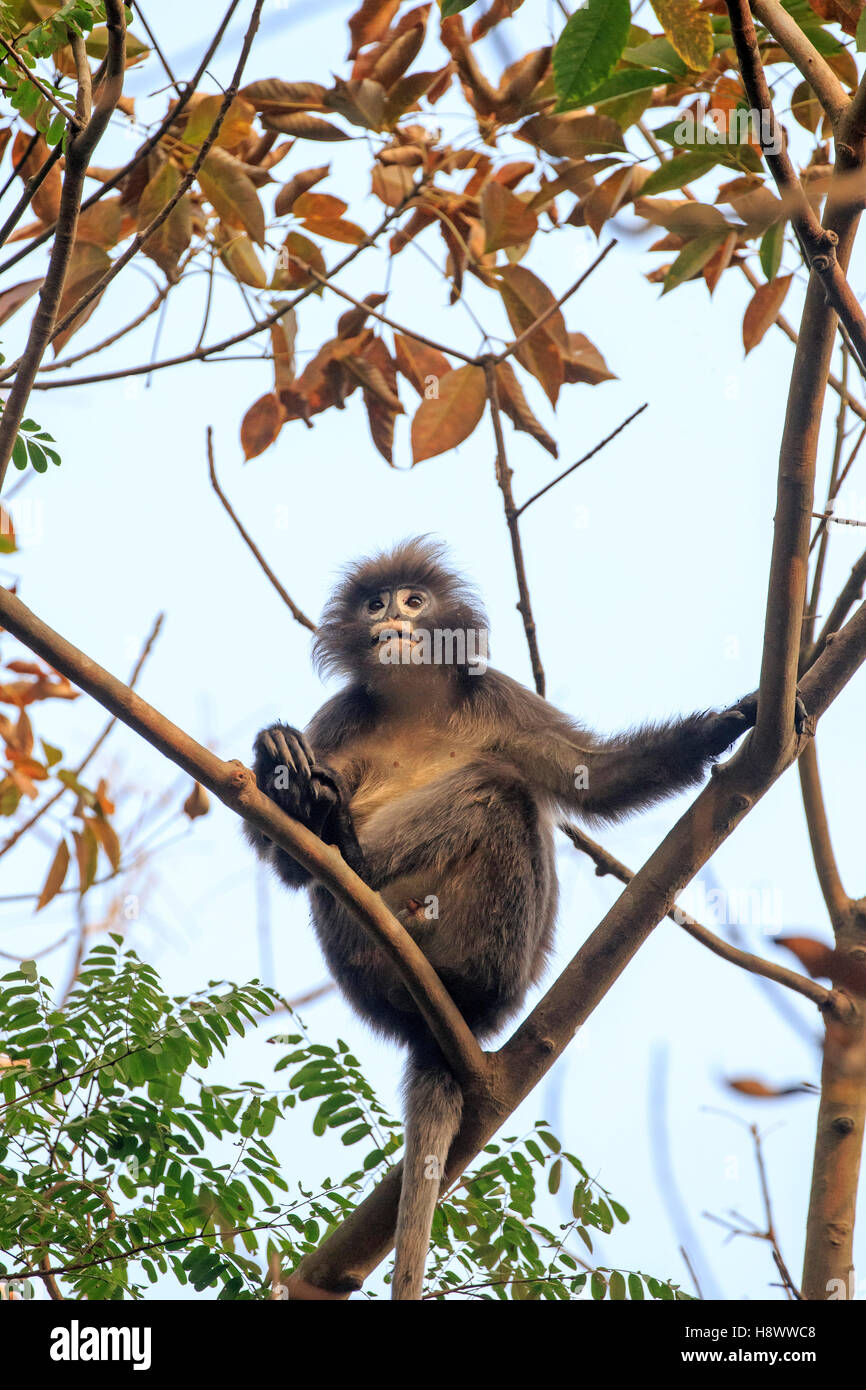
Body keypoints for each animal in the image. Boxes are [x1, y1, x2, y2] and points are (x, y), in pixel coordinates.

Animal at [245, 537, 761, 1301]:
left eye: (414, 600)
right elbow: (280, 860)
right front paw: (281, 770)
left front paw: (733, 721)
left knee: (502, 787)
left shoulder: (497, 699)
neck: (415, 702)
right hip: (359, 959)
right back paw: (335, 833)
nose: (393, 617)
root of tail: (438, 1023)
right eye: (376, 603)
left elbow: (593, 777)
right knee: (335, 868)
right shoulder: (340, 718)